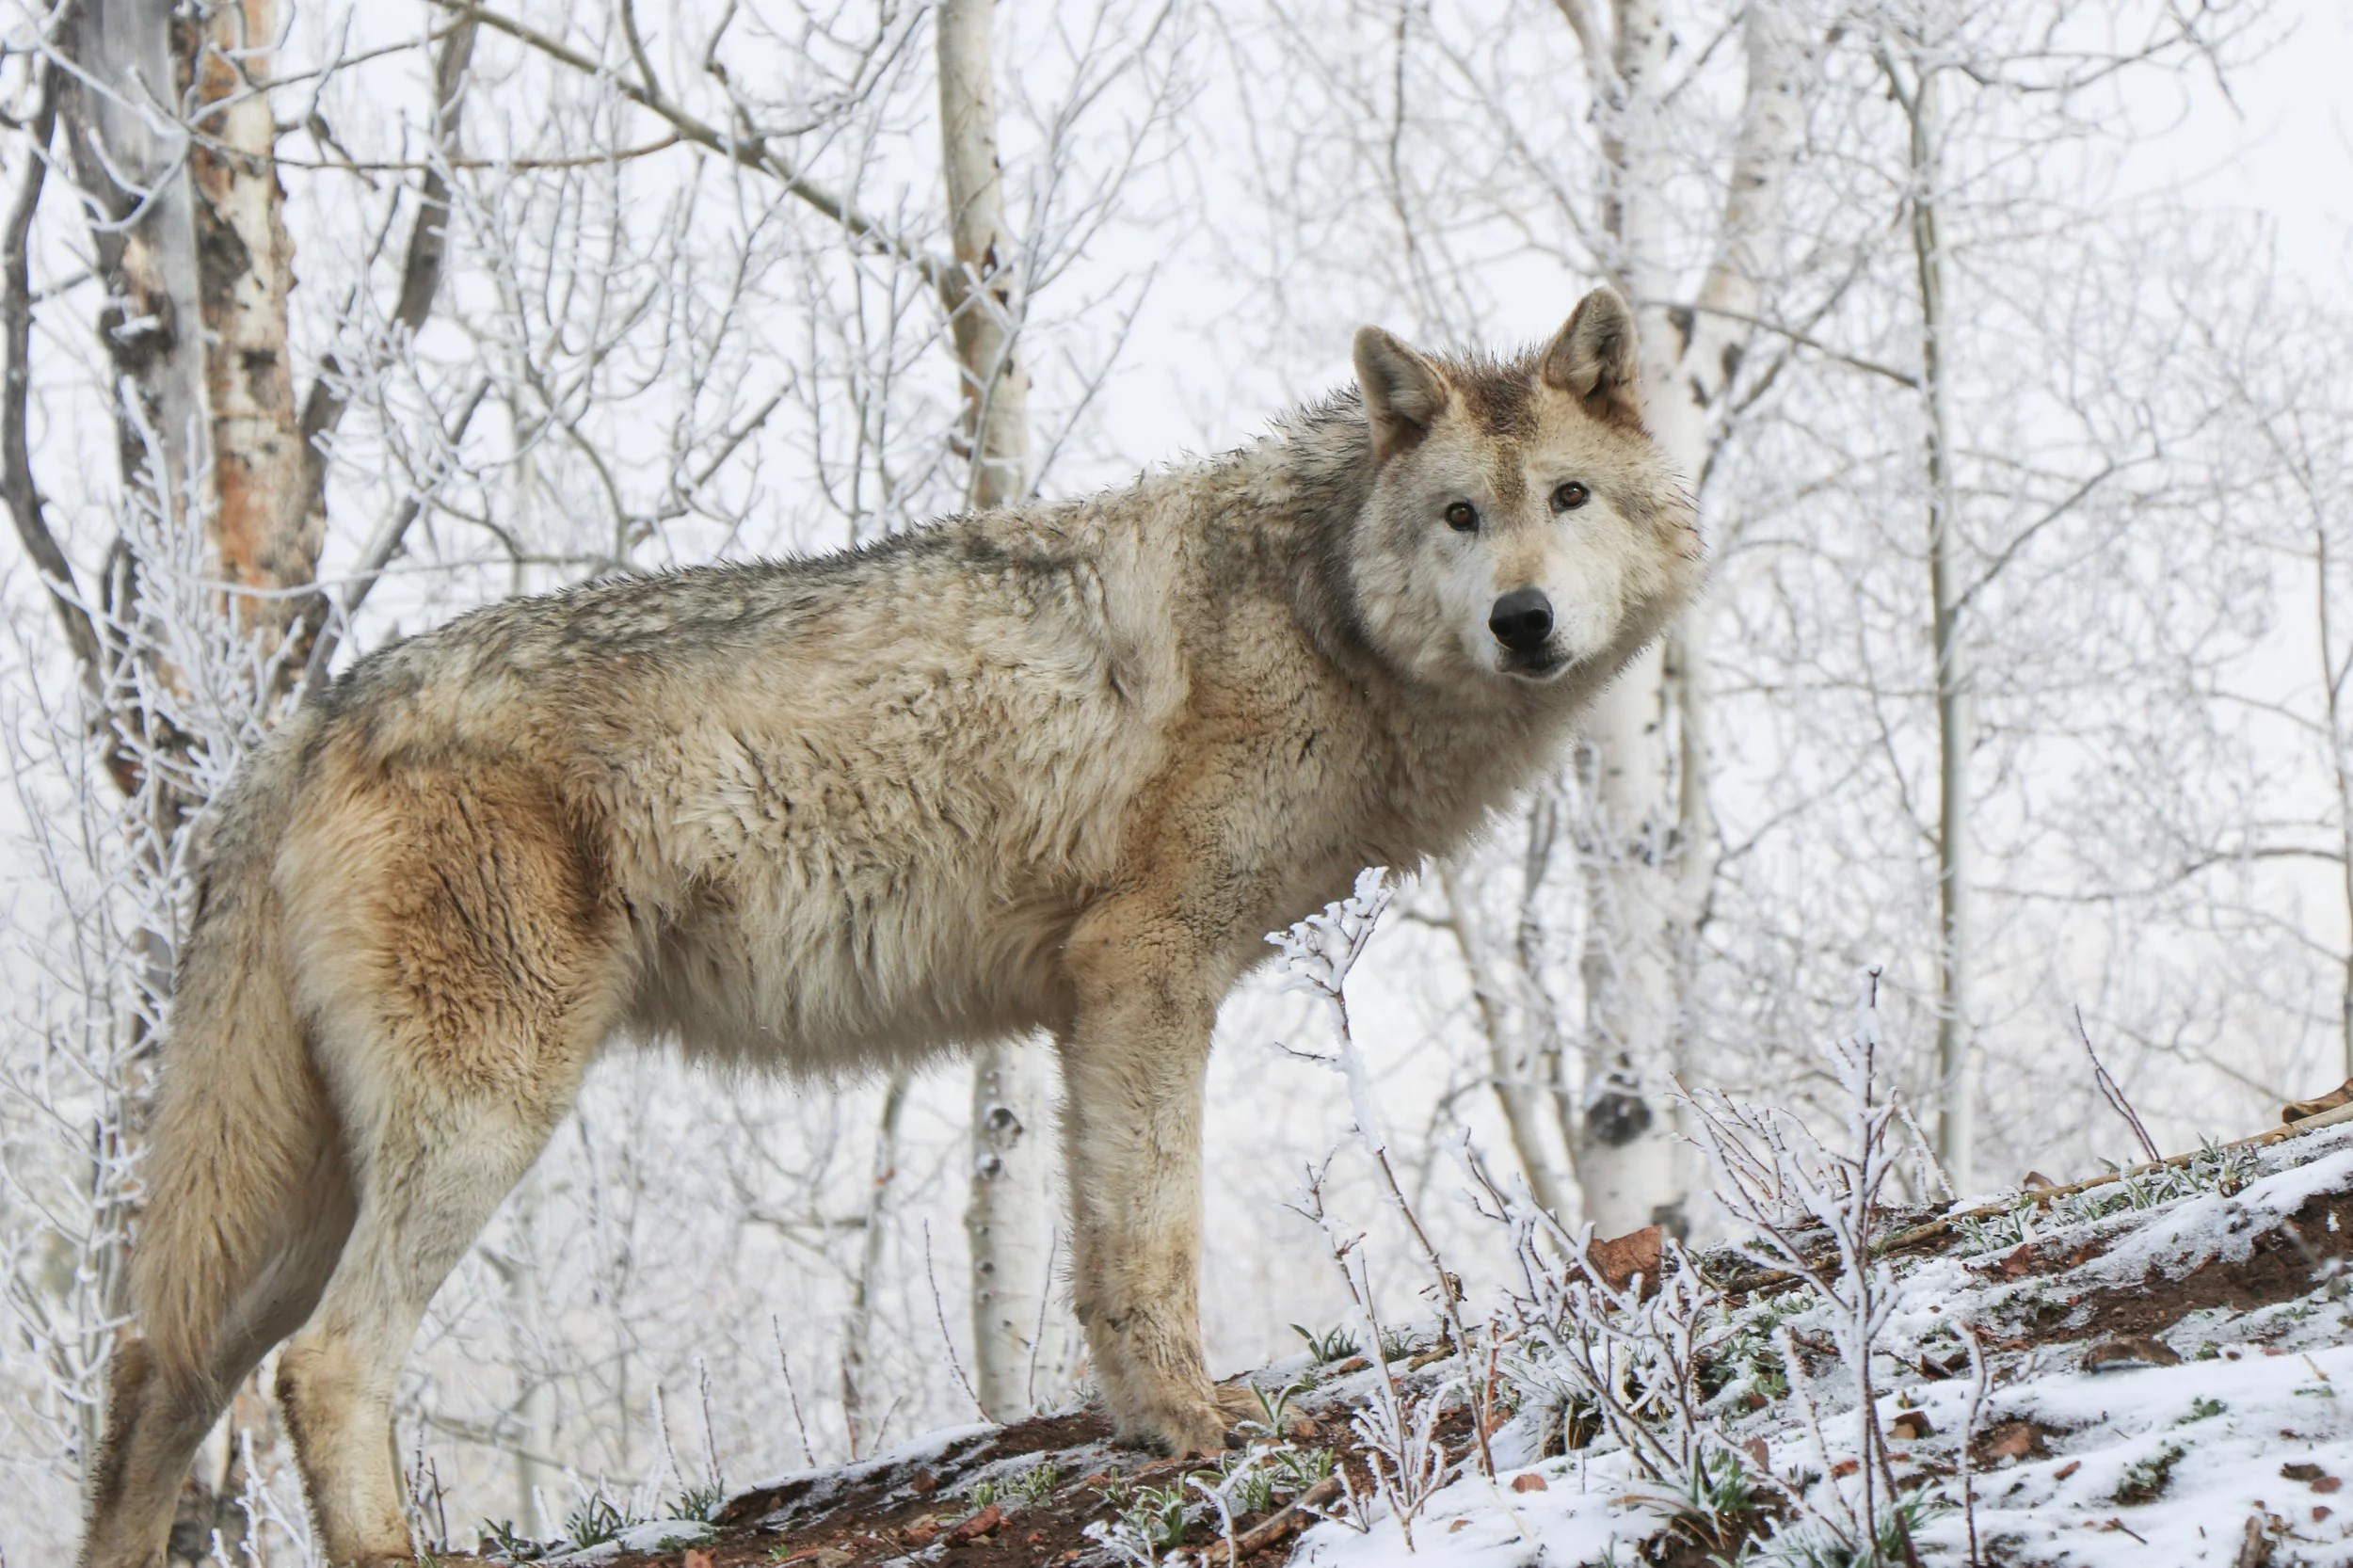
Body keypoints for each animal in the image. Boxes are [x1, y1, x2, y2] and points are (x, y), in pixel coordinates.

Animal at [79, 286, 1699, 1567]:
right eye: (1462, 516)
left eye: (1568, 499)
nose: (1526, 622)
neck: (1316, 611)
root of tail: (314, 716)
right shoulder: (1145, 969)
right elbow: (1154, 1233)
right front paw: (1190, 1422)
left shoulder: (1095, 1005)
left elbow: (1105, 1247)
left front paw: (1139, 1421)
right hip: (475, 1123)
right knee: (326, 1364)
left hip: (291, 1190)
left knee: (156, 1373)